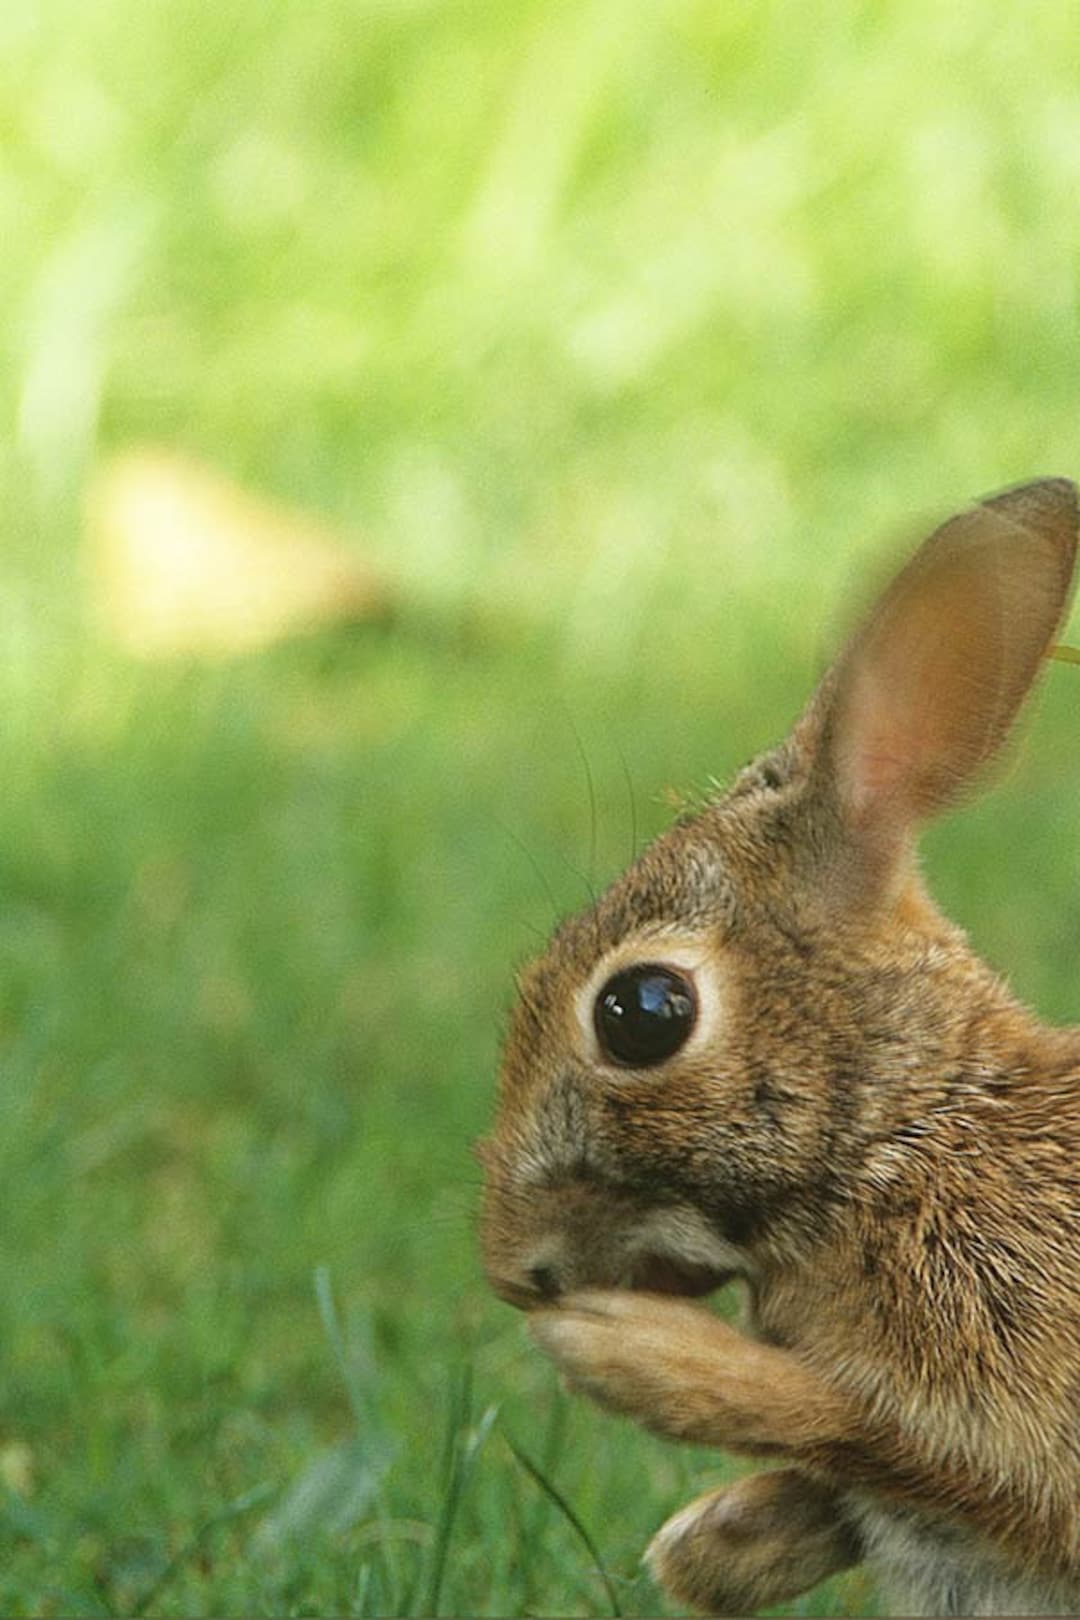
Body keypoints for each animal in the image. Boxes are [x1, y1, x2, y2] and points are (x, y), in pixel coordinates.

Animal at [477, 477, 1080, 1617]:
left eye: (641, 1012)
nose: (510, 1271)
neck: (907, 1133)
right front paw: (712, 1546)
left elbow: (859, 1422)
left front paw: (633, 1356)